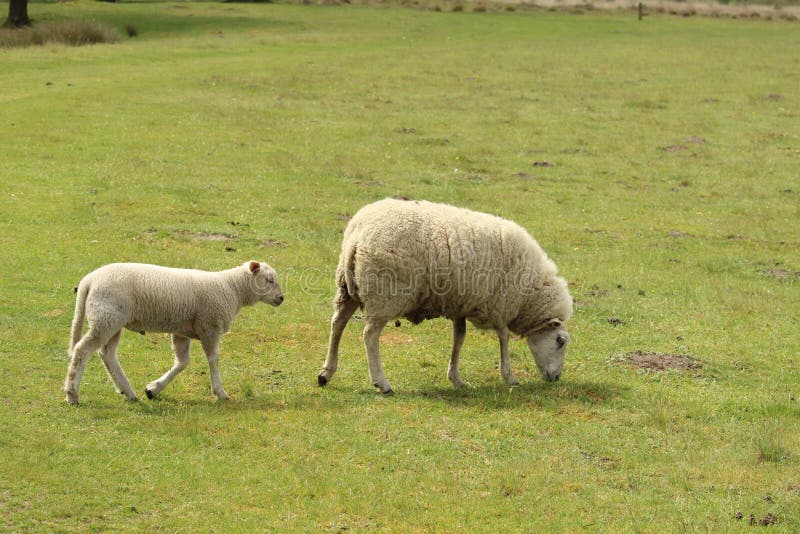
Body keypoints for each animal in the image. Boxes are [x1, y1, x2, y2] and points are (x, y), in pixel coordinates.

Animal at [64, 261, 283, 404]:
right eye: (269, 280)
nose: (282, 298)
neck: (232, 288)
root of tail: (88, 281)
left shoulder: (182, 331)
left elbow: (181, 362)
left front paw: (153, 389)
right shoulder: (209, 327)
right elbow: (213, 359)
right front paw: (220, 392)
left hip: (112, 321)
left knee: (107, 353)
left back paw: (128, 392)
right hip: (106, 318)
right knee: (82, 350)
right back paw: (72, 394)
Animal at [318, 198, 573, 394]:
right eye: (560, 341)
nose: (556, 378)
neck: (530, 296)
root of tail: (357, 236)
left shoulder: (461, 303)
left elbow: (459, 337)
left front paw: (456, 378)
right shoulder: (499, 305)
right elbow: (503, 339)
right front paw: (509, 377)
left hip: (347, 288)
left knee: (337, 323)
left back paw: (325, 373)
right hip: (385, 293)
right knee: (369, 335)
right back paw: (382, 383)